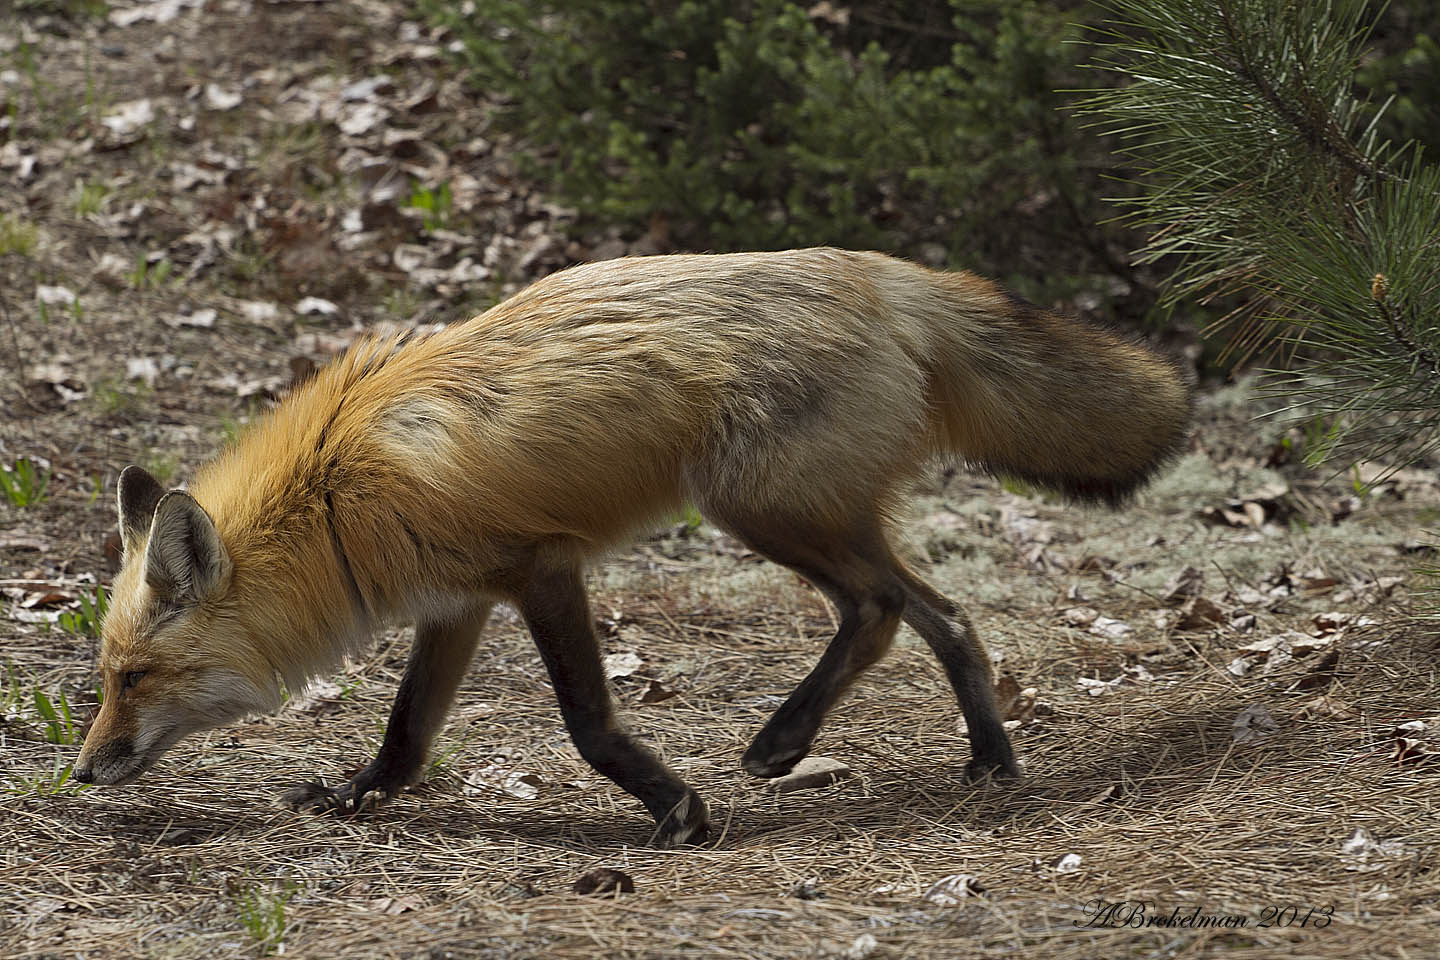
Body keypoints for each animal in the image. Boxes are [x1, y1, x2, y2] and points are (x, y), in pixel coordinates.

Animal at [72, 247, 1191, 846]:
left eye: (134, 678)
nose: (80, 773)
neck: (339, 491)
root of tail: (886, 272)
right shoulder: (456, 601)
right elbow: (407, 733)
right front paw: (355, 794)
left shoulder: (540, 569)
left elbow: (586, 723)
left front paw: (676, 809)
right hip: (815, 514)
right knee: (946, 617)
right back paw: (989, 757)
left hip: (758, 508)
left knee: (878, 612)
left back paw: (783, 742)